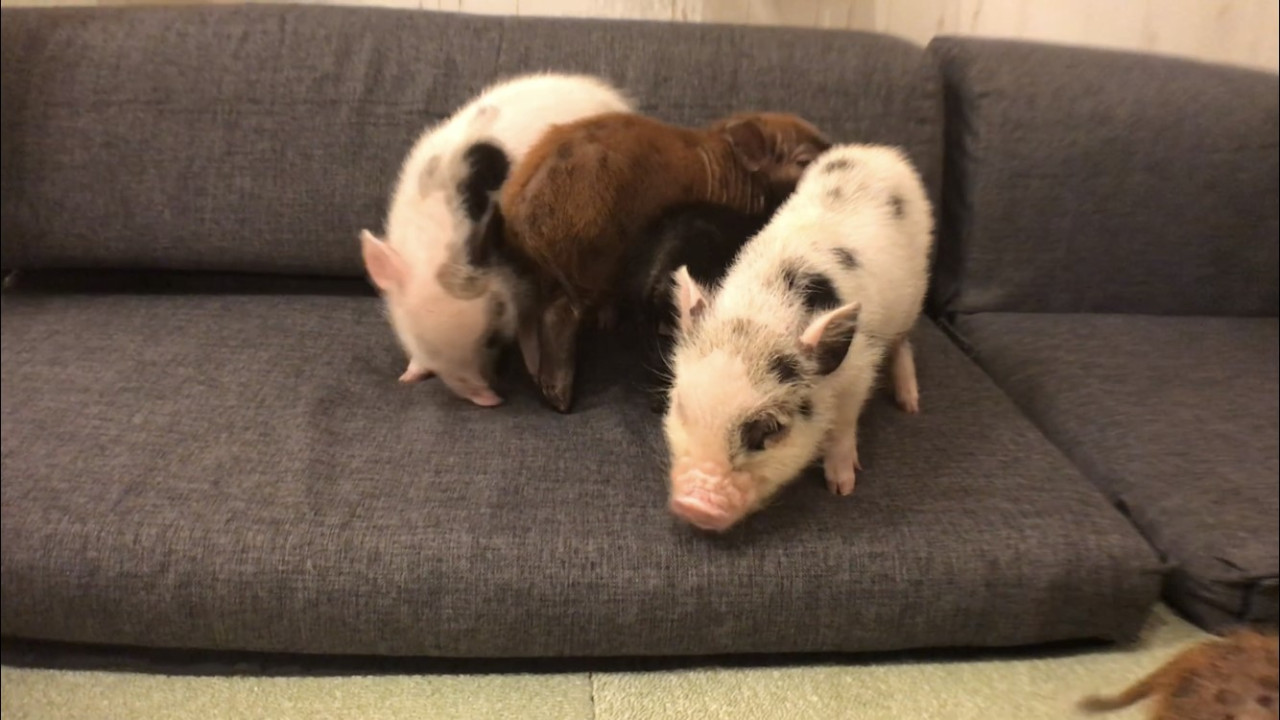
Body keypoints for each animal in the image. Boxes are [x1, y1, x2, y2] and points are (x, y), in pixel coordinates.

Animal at [359, 73, 633, 407]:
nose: (487, 399)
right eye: (421, 341)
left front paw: (534, 370)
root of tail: (617, 100)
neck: (437, 243)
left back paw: (606, 323)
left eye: (492, 338)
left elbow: (530, 324)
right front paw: (406, 378)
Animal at [495, 111, 831, 413]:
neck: (735, 172)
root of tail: (521, 221)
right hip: (589, 271)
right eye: (803, 161)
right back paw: (562, 400)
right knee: (560, 314)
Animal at [662, 143, 934, 532]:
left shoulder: (860, 370)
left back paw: (910, 405)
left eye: (768, 429)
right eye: (681, 406)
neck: (762, 313)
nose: (693, 506)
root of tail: (878, 151)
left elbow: (843, 425)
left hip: (914, 294)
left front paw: (842, 488)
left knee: (902, 343)